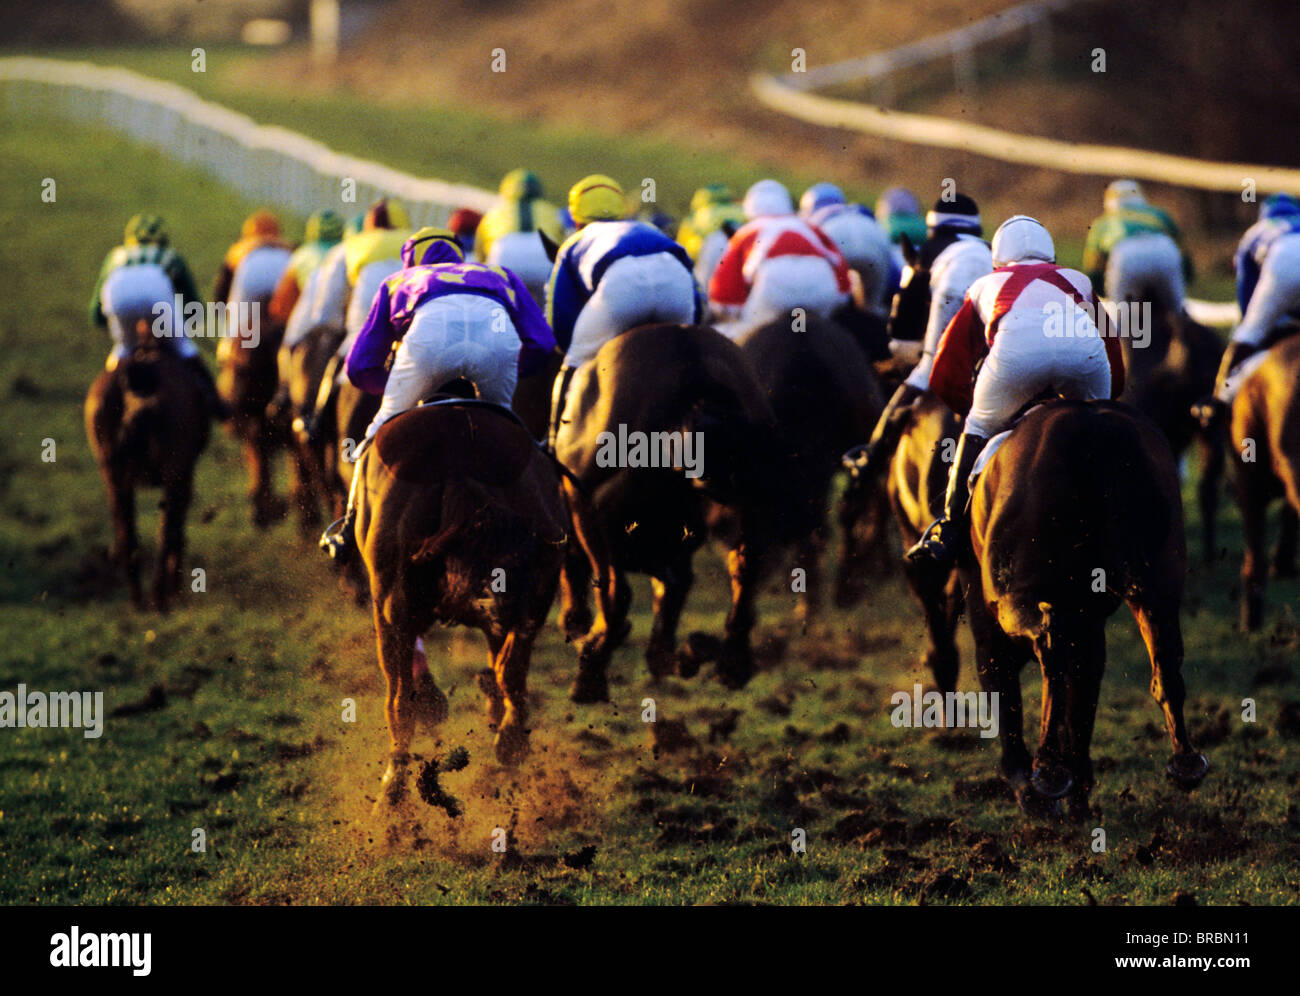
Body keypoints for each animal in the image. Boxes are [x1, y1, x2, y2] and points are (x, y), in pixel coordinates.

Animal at [84, 326, 211, 613]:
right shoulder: (183, 473)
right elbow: (175, 525)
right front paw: (175, 587)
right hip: (173, 470)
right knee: (165, 530)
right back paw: (160, 594)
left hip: (113, 476)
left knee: (127, 530)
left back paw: (138, 597)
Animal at [963, 400, 1209, 818]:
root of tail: (1089, 428)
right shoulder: (1088, 618)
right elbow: (1082, 693)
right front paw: (1079, 791)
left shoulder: (990, 616)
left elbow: (1004, 685)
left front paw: (1033, 789)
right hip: (1157, 580)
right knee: (1164, 664)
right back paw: (1185, 761)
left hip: (1013, 594)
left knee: (1048, 646)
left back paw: (1046, 771)